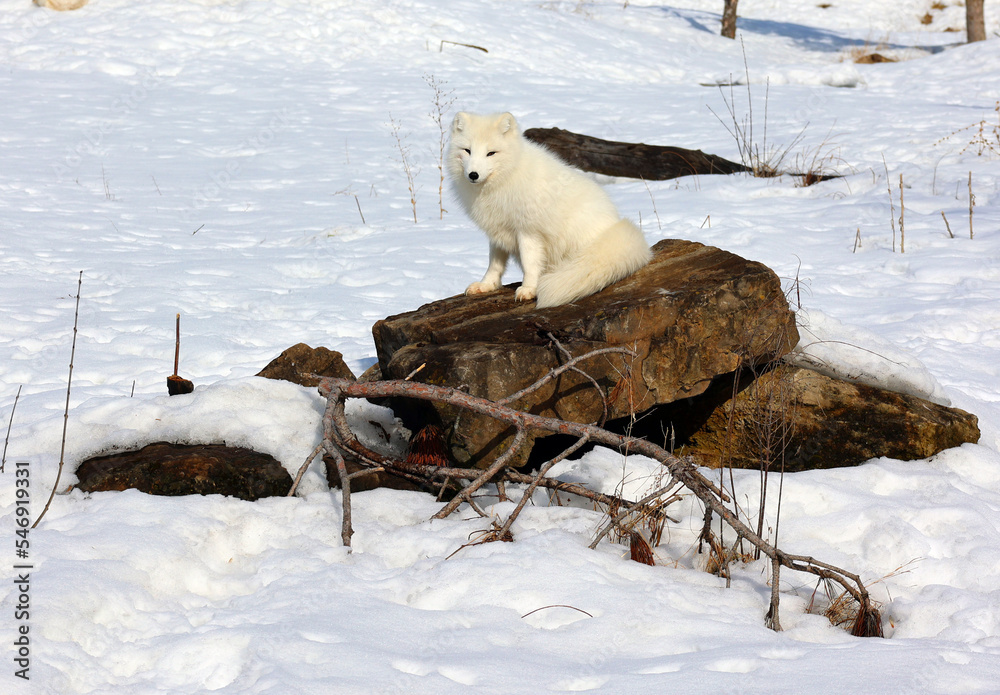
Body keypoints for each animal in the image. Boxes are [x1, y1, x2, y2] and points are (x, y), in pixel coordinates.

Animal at [448, 111, 651, 308]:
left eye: (491, 153)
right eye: (467, 151)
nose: (473, 175)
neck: (504, 179)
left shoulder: (528, 231)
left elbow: (530, 263)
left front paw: (529, 289)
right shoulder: (497, 230)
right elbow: (494, 264)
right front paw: (486, 285)